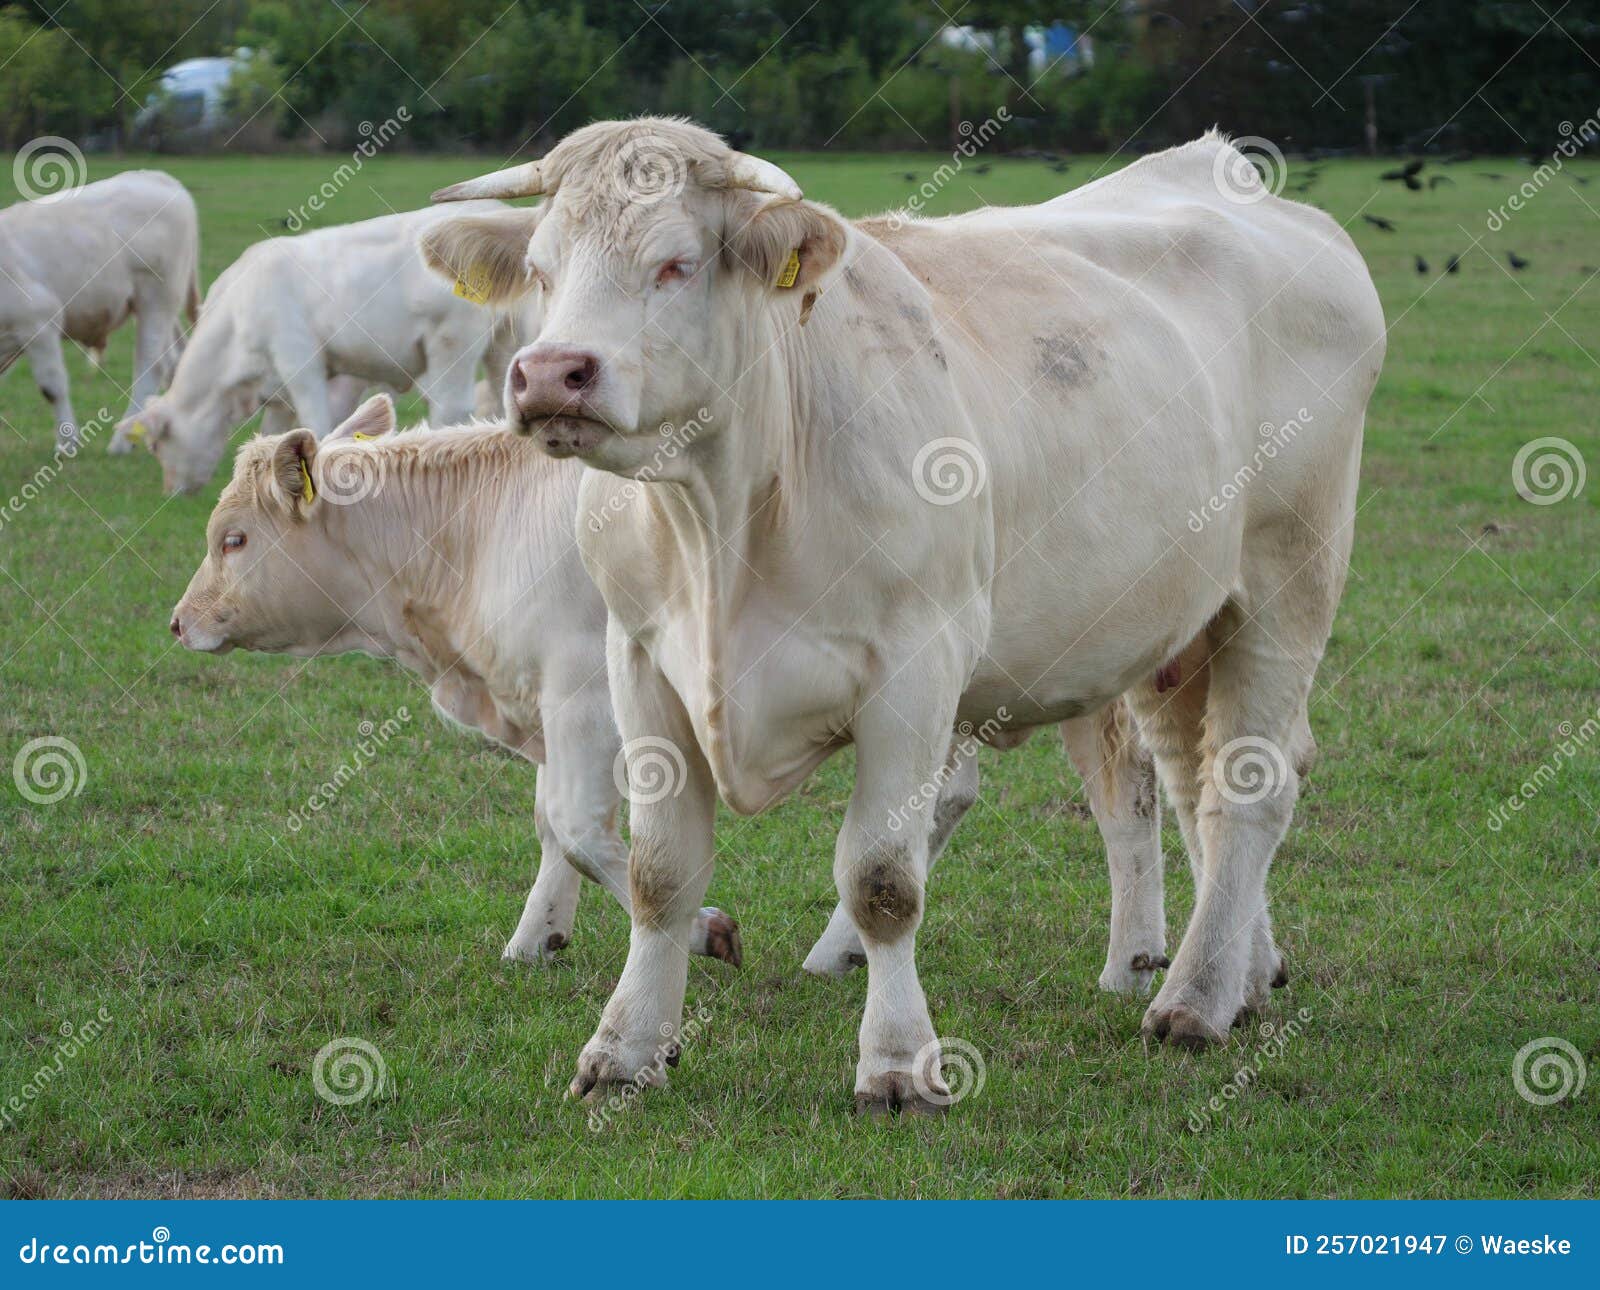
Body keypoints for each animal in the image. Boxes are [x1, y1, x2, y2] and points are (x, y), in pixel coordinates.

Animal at [0, 170, 200, 448]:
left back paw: (123, 440)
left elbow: (52, 387)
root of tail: (157, 177)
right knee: (177, 359)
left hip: (157, 297)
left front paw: (68, 442)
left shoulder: (39, 321)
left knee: (152, 367)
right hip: (162, 307)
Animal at [122, 204, 524, 494]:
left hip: (452, 344)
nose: (172, 492)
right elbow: (273, 433)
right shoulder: (277, 392)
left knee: (451, 408)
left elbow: (318, 422)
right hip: (507, 344)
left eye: (155, 446)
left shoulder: (300, 362)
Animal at [167, 398, 1167, 992]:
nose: (178, 623)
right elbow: (553, 826)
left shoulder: (584, 699)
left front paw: (704, 931)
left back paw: (1132, 967)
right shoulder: (554, 708)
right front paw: (538, 937)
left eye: (234, 538)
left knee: (1123, 798)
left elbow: (579, 828)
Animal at [420, 120, 1385, 1115]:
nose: (550, 374)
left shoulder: (914, 674)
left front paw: (897, 1063)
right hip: (1177, 624)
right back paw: (1243, 978)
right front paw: (624, 1049)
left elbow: (882, 880)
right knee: (1197, 783)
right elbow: (660, 875)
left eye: (675, 264)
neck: (722, 515)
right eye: (541, 269)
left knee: (1253, 782)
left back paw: (1193, 1000)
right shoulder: (642, 661)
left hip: (1290, 575)